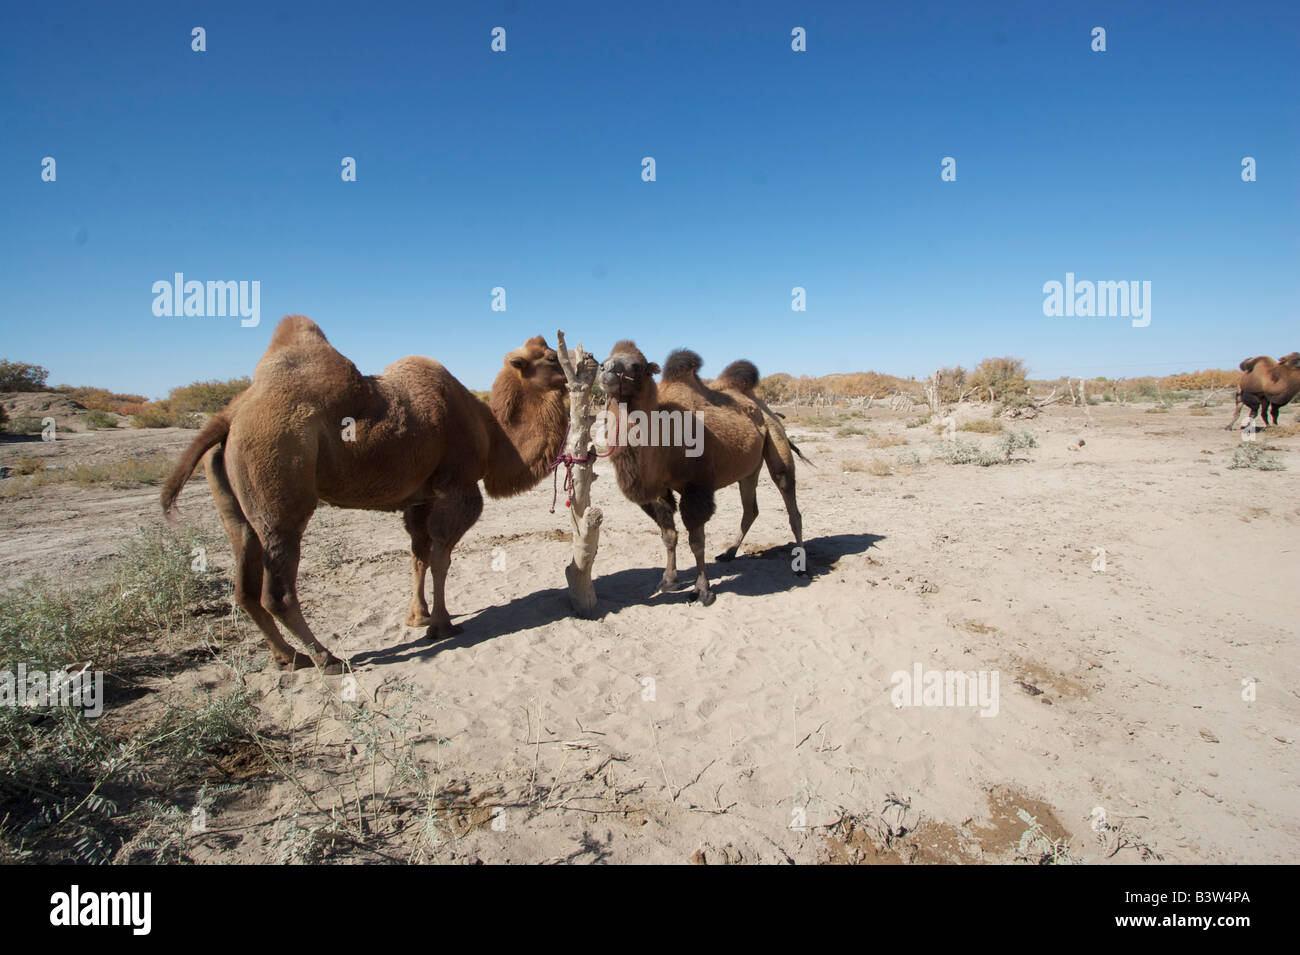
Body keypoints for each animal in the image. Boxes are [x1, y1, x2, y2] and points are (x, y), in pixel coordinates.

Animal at [161, 315, 569, 672]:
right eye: (551, 358)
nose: (583, 365)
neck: (493, 436)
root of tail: (229, 416)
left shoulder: (421, 497)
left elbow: (419, 555)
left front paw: (417, 617)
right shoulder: (458, 489)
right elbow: (441, 558)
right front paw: (442, 625)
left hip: (236, 508)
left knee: (244, 587)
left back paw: (287, 657)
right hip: (279, 498)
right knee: (276, 591)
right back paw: (326, 659)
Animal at [598, 342, 806, 606]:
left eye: (636, 365)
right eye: (607, 358)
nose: (605, 368)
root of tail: (765, 408)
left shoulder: (696, 488)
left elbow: (696, 542)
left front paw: (703, 591)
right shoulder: (659, 491)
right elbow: (669, 535)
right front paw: (668, 581)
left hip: (776, 440)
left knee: (790, 502)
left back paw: (801, 567)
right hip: (749, 468)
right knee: (751, 509)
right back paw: (729, 553)